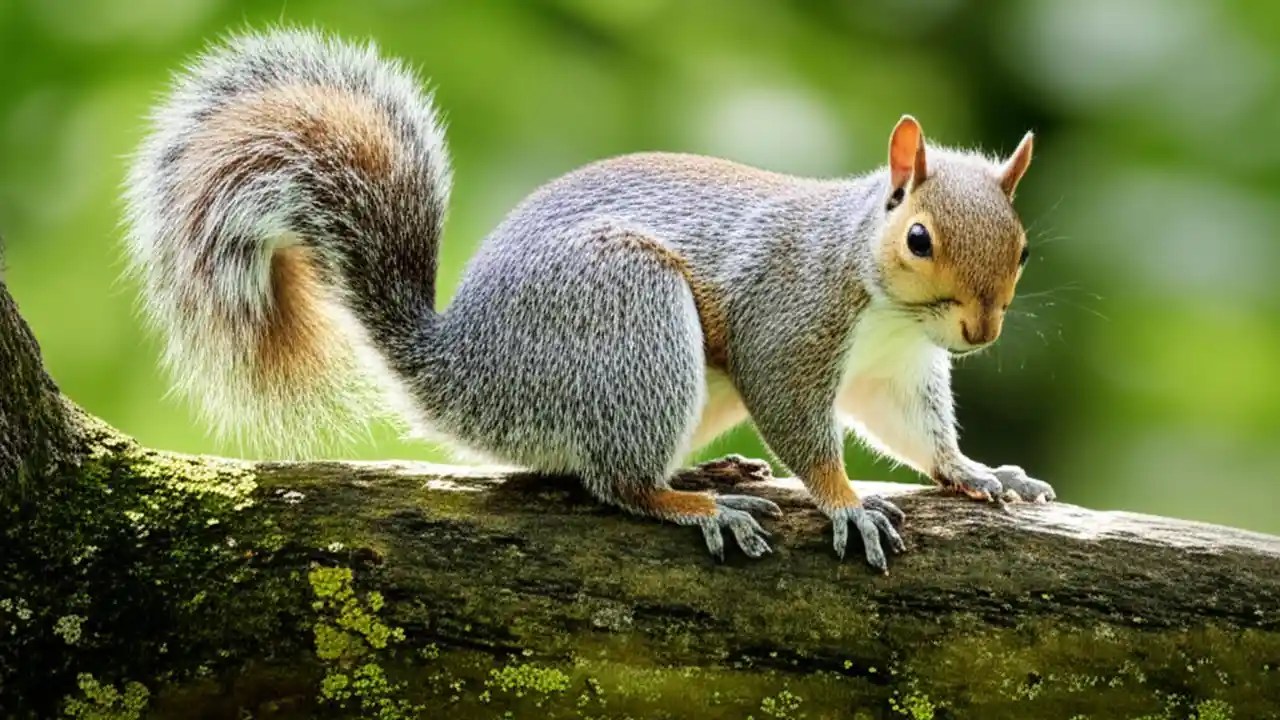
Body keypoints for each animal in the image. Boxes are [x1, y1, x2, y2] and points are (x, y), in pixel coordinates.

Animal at [123, 28, 1055, 571]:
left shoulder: (896, 369)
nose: (978, 332)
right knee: (616, 484)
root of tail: (464, 371)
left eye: (1022, 245)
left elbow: (914, 430)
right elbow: (800, 422)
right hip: (629, 317)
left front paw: (978, 472)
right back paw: (697, 503)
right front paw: (849, 506)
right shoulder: (788, 319)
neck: (885, 304)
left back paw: (705, 472)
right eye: (920, 239)